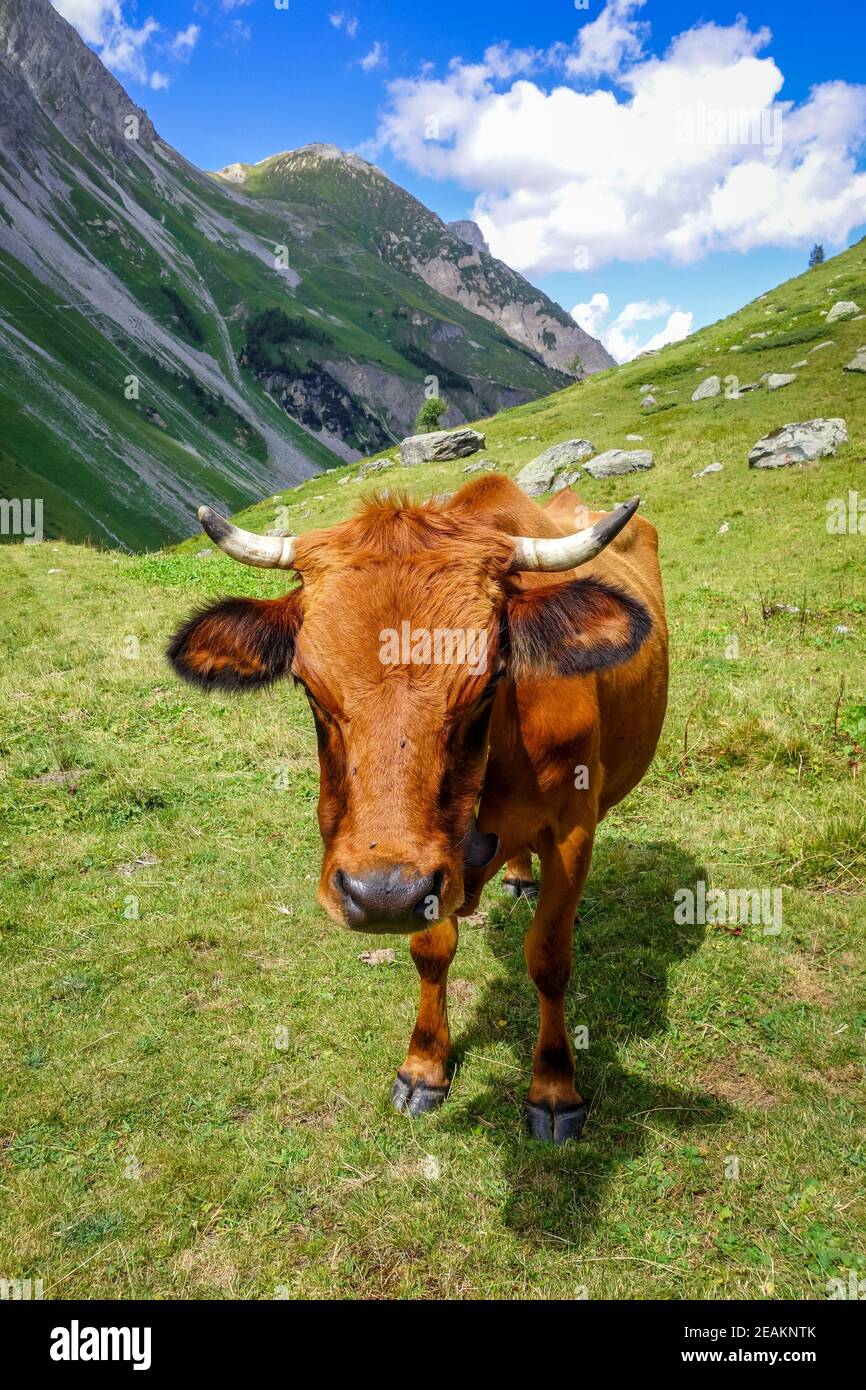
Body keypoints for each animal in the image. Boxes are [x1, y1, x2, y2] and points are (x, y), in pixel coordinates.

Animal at [167, 474, 668, 1143]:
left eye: (489, 680)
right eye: (307, 686)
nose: (380, 896)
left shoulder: (572, 831)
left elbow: (549, 958)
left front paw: (555, 1089)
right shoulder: (428, 869)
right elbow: (431, 951)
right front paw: (425, 1066)